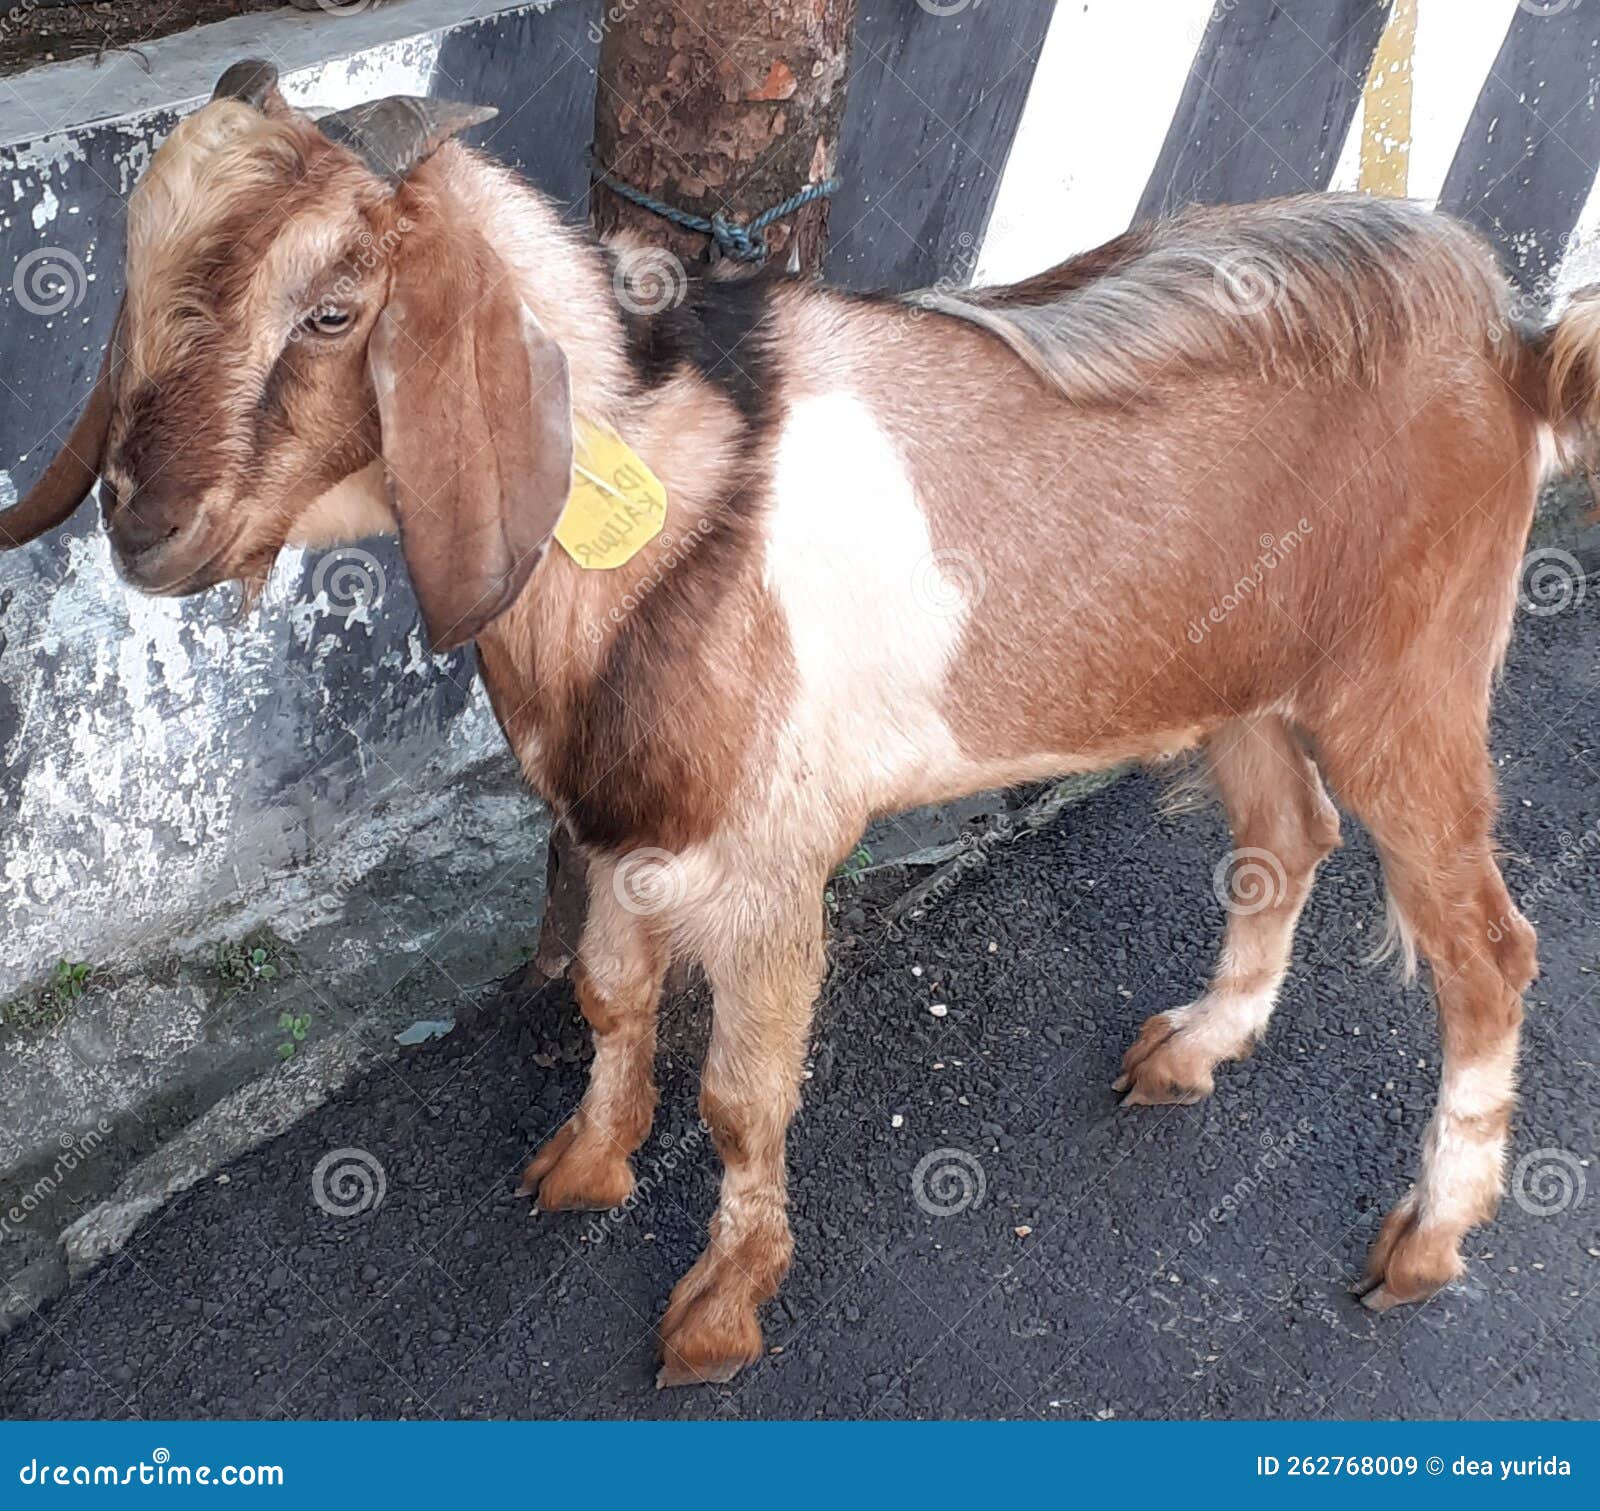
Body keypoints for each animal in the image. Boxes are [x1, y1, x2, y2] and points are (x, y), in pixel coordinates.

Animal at [2, 58, 1587, 1387]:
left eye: (333, 310)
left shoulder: (770, 862)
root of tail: (1511, 333)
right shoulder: (621, 817)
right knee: (1287, 833)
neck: (657, 514)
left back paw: (1425, 1238)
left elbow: (742, 1099)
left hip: (1409, 680)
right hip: (1239, 670)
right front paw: (585, 1160)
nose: (142, 526)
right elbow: (610, 994)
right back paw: (1197, 1045)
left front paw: (718, 1310)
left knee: (1487, 949)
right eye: (141, 282)